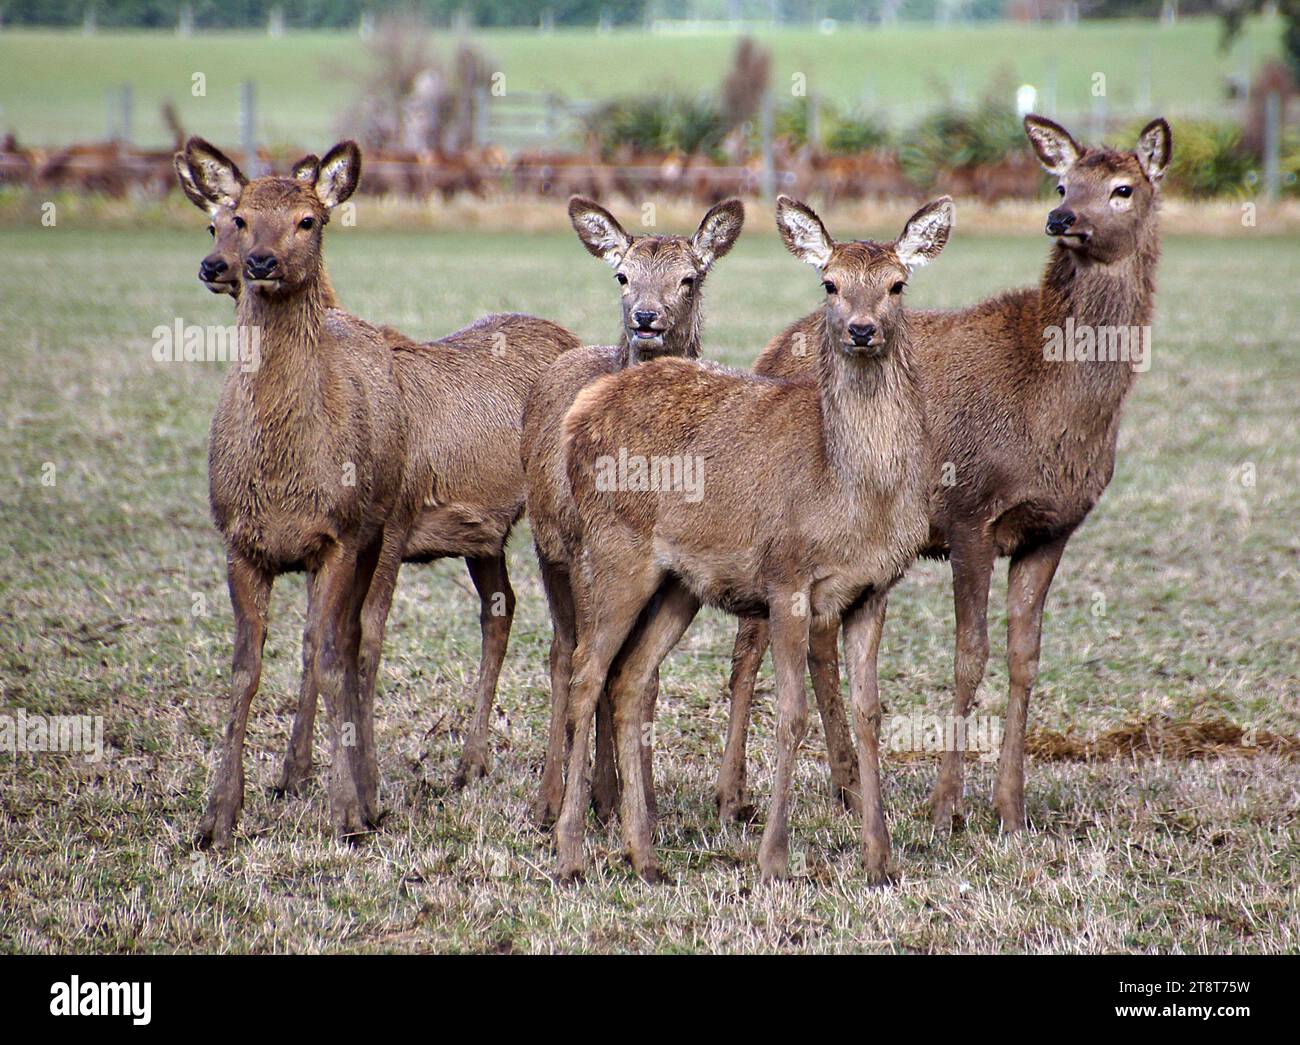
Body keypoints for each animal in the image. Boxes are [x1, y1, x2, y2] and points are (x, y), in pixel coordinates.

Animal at [179, 137, 581, 847]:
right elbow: (264, 662)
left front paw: (354, 800)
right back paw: (471, 763)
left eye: (309, 220)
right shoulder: (243, 541)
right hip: (482, 538)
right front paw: (233, 808)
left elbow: (351, 646)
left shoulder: (377, 528)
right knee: (499, 609)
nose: (237, 265)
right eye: (226, 220)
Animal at [523, 194, 746, 830]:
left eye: (689, 278)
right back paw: (552, 798)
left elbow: (643, 680)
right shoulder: (582, 549)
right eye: (622, 275)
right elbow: (588, 665)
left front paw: (638, 798)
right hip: (550, 547)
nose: (645, 318)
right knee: (562, 653)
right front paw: (587, 799)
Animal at [554, 195, 954, 883]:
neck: (852, 493)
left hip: (678, 583)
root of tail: (582, 413)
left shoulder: (875, 588)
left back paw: (645, 856)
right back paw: (571, 850)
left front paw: (880, 859)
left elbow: (870, 712)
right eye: (830, 283)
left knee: (629, 680)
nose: (862, 330)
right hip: (611, 551)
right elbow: (791, 712)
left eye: (898, 284)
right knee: (586, 674)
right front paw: (773, 858)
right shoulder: (787, 576)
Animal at [719, 116, 1172, 835]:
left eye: (1123, 188)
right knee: (748, 647)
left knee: (810, 639)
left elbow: (1024, 657)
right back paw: (735, 794)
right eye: (1062, 182)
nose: (1062, 217)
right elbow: (969, 655)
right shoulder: (969, 510)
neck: (1059, 405)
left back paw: (844, 785)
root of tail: (770, 349)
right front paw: (945, 805)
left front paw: (1011, 807)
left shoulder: (1053, 527)